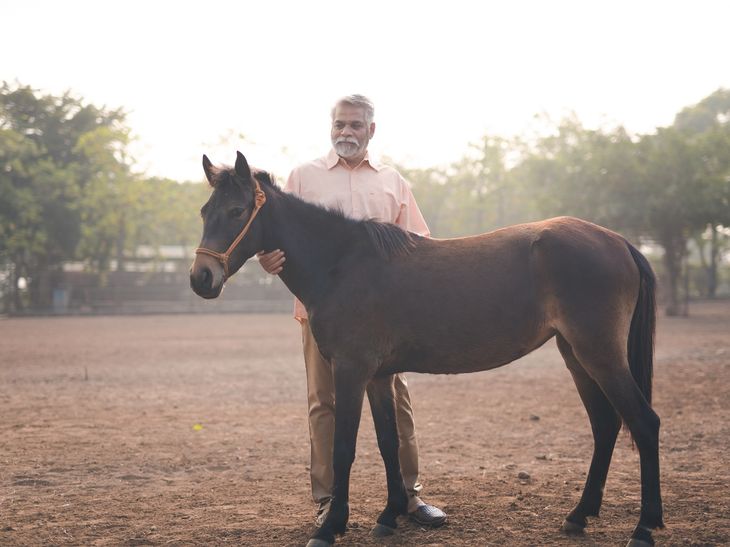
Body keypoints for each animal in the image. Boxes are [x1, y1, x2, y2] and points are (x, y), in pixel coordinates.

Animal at [190, 152, 663, 547]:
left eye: (236, 211)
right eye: (204, 212)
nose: (201, 278)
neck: (342, 264)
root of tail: (619, 242)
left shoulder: (351, 370)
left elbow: (345, 447)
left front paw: (330, 527)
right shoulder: (377, 376)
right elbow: (388, 442)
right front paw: (388, 516)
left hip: (599, 354)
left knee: (643, 423)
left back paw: (643, 528)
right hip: (577, 356)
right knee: (606, 425)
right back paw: (579, 516)